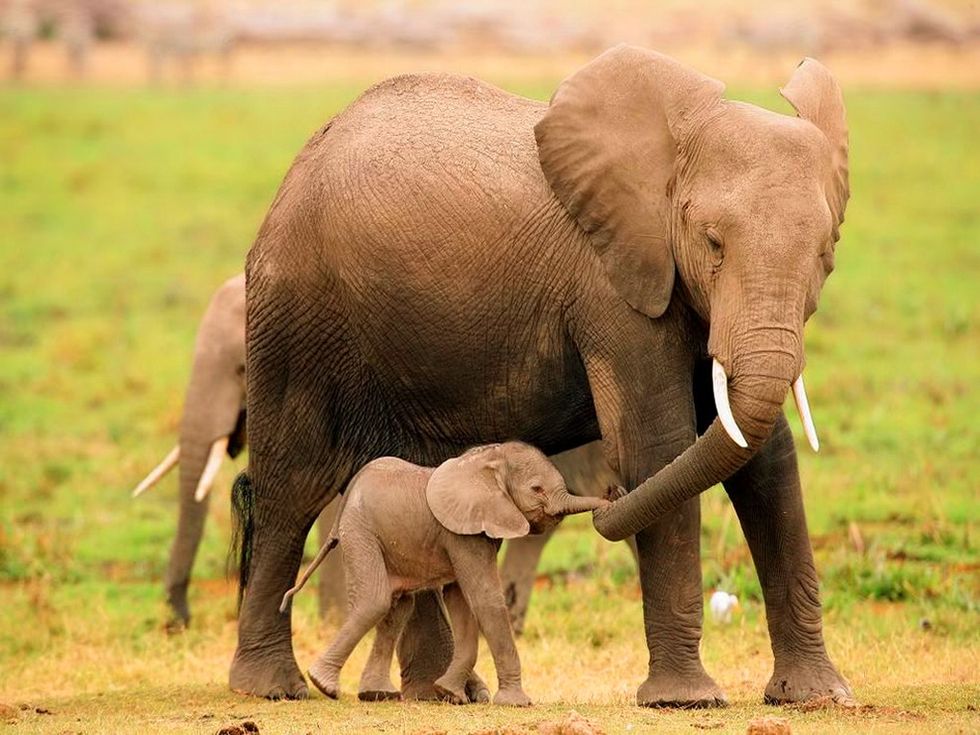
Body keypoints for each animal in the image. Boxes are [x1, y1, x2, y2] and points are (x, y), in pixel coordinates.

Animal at [278, 442, 608, 705]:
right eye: (537, 489)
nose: (610, 495)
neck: (489, 458)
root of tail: (348, 495)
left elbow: (460, 601)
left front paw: (449, 693)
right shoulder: (463, 532)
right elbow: (484, 599)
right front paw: (516, 703)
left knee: (398, 607)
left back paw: (377, 694)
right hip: (361, 530)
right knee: (375, 600)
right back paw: (323, 685)